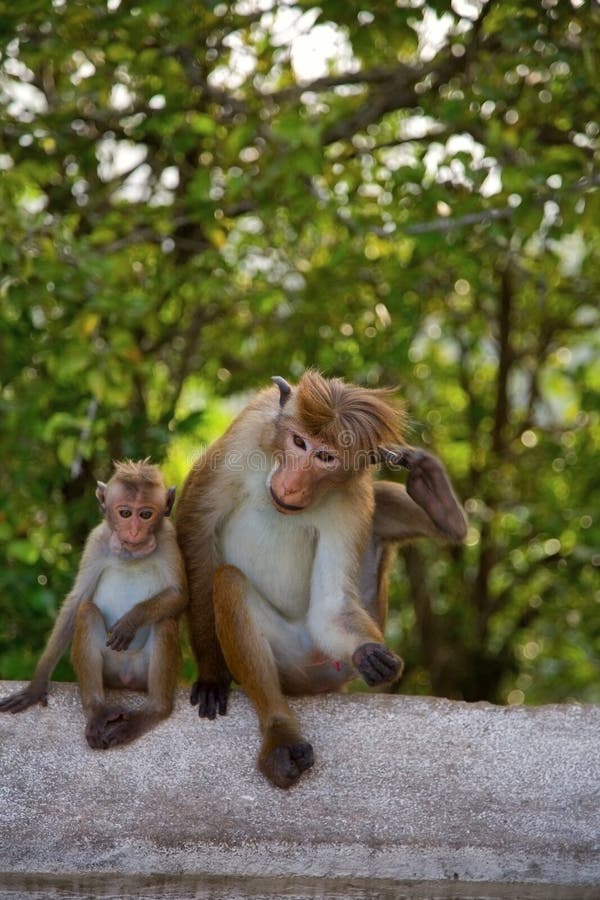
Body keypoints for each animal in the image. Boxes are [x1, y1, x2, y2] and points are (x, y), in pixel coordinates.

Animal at [0, 459, 187, 749]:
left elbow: (179, 594)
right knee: (86, 613)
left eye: (146, 514)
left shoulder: (168, 536)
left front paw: (131, 620)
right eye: (125, 513)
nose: (135, 531)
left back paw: (152, 712)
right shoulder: (96, 540)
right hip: (108, 670)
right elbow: (77, 600)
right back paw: (97, 710)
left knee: (164, 621)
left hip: (142, 672)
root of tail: (125, 679)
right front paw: (36, 685)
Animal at [176, 371, 467, 789]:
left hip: (332, 653)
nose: (293, 483)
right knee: (228, 582)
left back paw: (442, 507)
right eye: (299, 442)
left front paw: (368, 653)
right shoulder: (241, 439)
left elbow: (333, 603)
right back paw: (280, 735)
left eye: (326, 457)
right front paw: (212, 675)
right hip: (291, 667)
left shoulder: (351, 499)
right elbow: (197, 537)